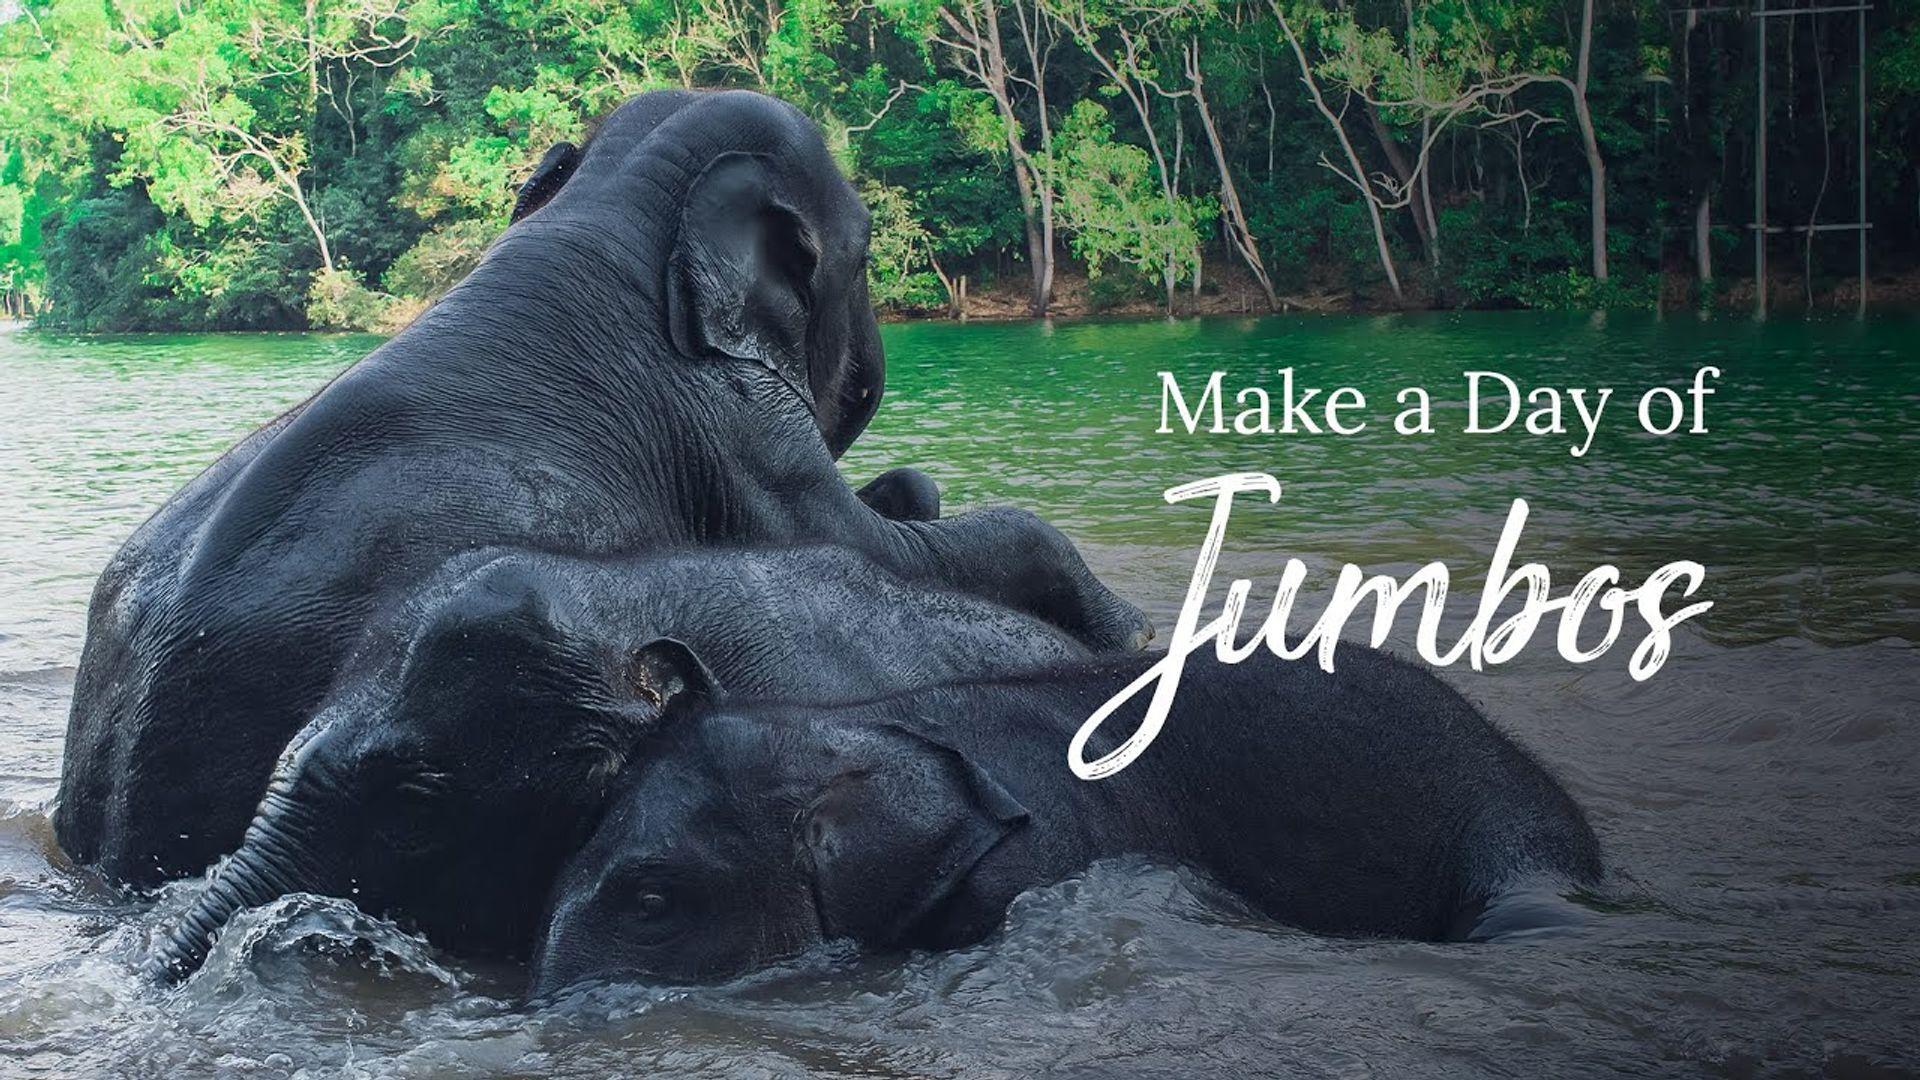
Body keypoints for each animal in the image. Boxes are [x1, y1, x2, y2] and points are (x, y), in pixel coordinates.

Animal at [56, 88, 1148, 889]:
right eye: (868, 246)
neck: (618, 207)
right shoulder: (740, 438)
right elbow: (881, 548)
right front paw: (1126, 625)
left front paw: (914, 487)